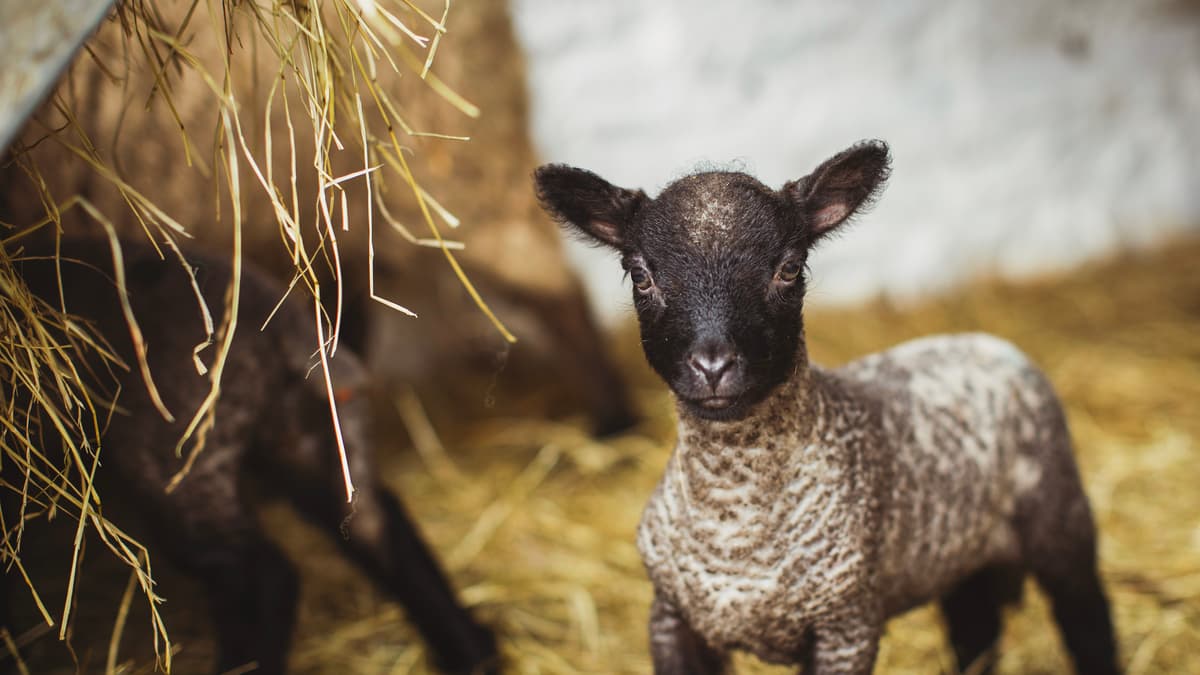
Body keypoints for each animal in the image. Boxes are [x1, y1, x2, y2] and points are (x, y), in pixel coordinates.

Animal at [6, 237, 499, 675]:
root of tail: (282, 332)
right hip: (316, 435)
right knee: (377, 526)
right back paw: (473, 654)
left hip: (181, 455)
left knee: (262, 572)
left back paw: (241, 666)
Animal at [533, 140, 1120, 675]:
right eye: (640, 275)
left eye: (789, 269)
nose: (713, 365)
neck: (735, 520)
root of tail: (983, 340)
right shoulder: (670, 618)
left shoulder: (846, 626)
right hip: (960, 556)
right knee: (975, 628)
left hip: (1059, 519)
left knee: (1088, 619)